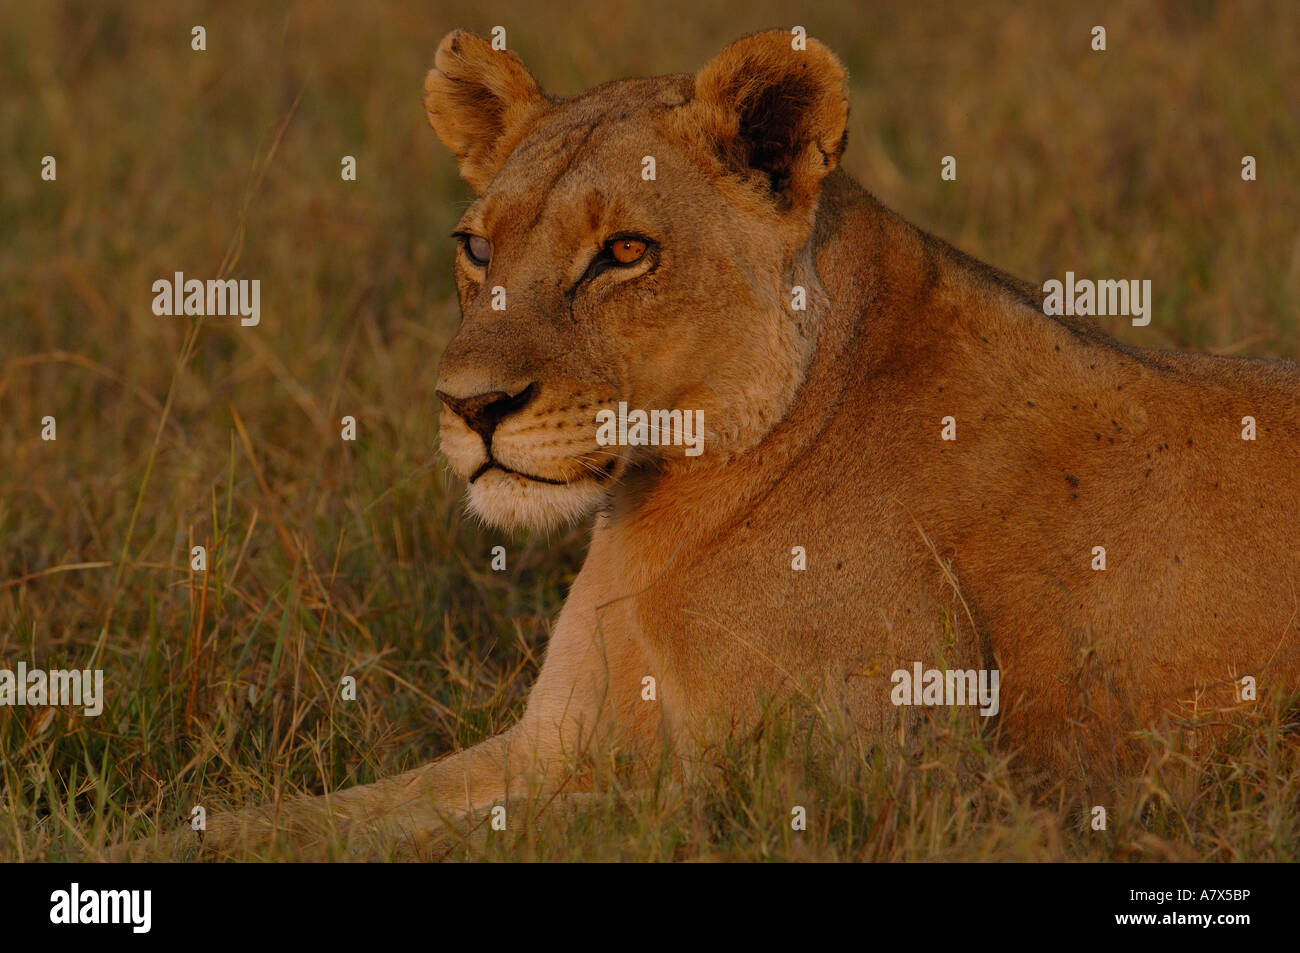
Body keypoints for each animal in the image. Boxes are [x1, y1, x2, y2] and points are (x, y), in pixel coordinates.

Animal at [122, 28, 1300, 859]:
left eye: (624, 253)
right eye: (475, 247)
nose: (469, 406)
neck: (655, 514)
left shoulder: (858, 785)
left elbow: (491, 840)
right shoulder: (549, 742)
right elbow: (315, 818)